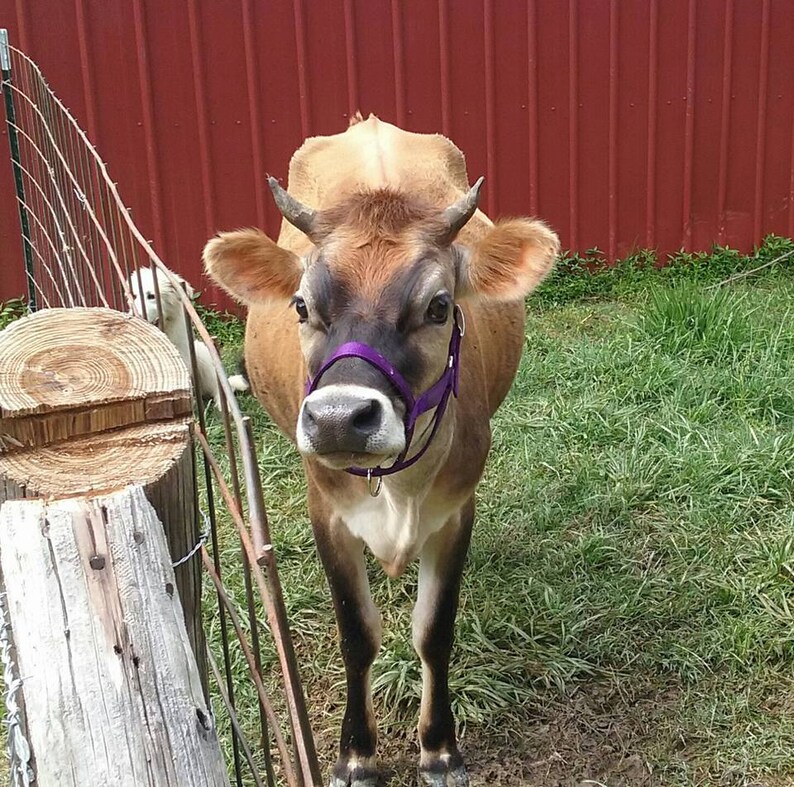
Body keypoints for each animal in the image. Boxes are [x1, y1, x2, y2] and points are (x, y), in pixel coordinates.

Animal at [204, 115, 559, 787]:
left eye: (440, 307)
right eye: (302, 305)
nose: (340, 419)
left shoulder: (456, 509)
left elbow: (434, 630)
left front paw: (439, 748)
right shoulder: (326, 510)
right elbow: (358, 634)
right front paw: (357, 755)